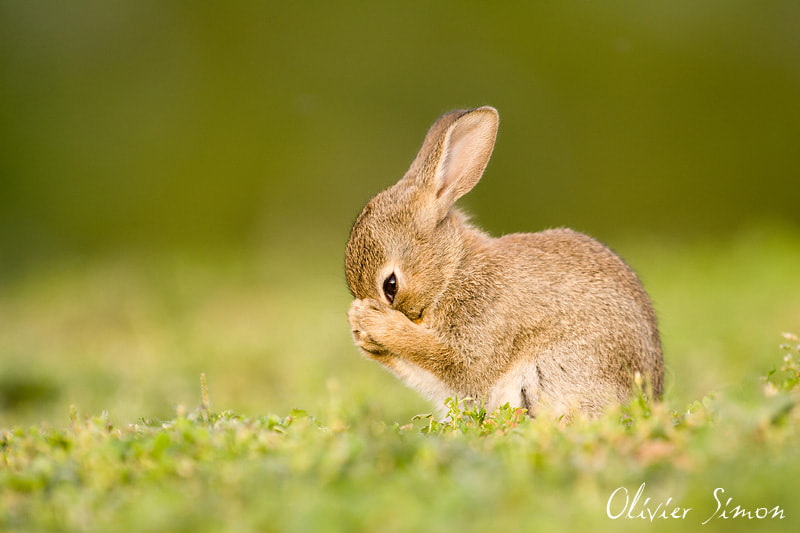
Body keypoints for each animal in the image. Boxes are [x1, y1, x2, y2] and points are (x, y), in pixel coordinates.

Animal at [345, 106, 663, 419]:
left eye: (391, 286)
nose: (361, 322)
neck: (453, 271)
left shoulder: (478, 338)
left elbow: (447, 360)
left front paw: (371, 321)